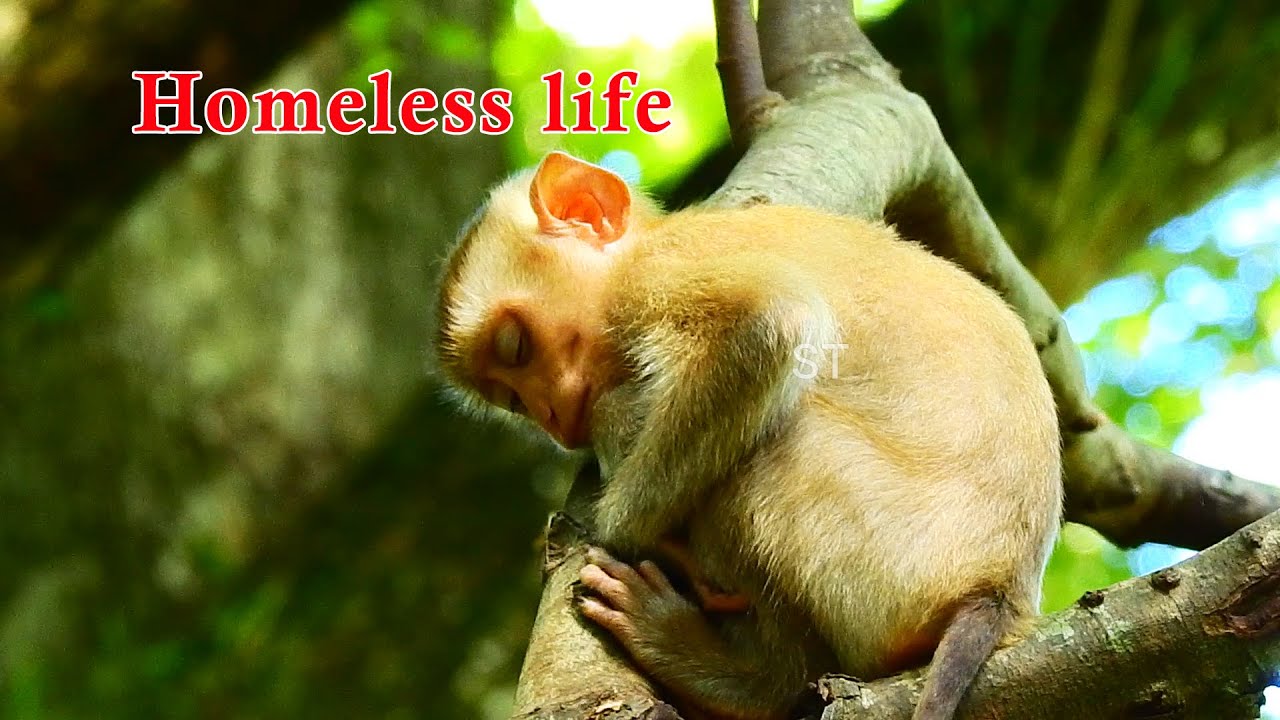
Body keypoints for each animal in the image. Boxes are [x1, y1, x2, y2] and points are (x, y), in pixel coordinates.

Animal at [430, 151, 1062, 720]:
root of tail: (998, 593)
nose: (553, 419)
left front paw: (619, 528)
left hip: (882, 560)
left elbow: (767, 322)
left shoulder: (655, 281)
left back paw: (744, 676)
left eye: (515, 347)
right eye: (510, 399)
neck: (647, 247)